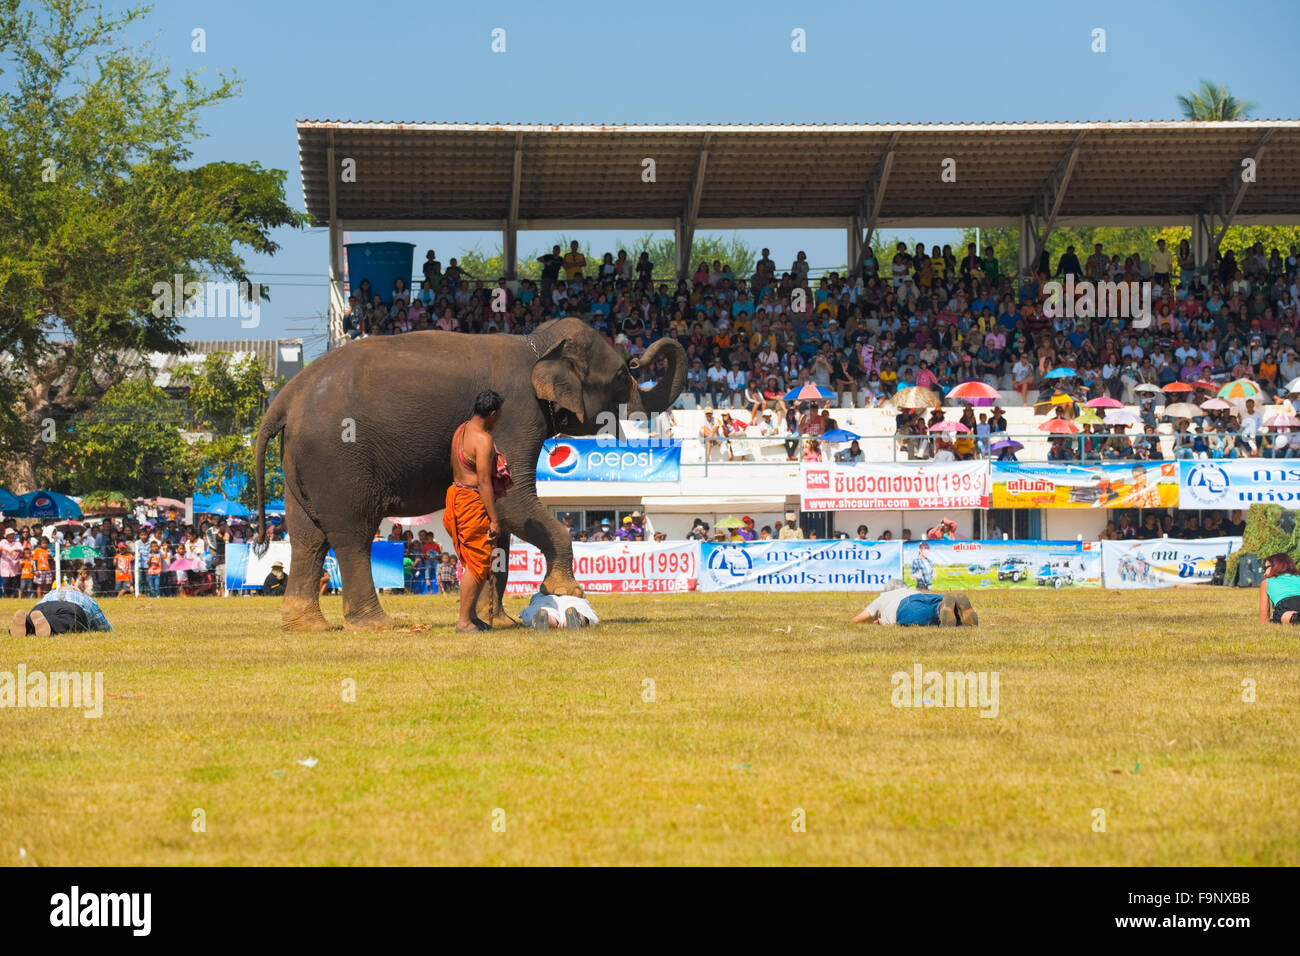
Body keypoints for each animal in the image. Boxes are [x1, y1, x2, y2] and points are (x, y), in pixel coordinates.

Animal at [252, 317, 687, 631]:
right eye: (621, 375)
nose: (639, 358)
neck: (535, 344)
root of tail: (285, 398)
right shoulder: (517, 414)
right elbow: (515, 501)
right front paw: (565, 590)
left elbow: (503, 512)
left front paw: (501, 622)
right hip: (338, 457)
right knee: (352, 535)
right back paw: (376, 625)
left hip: (300, 461)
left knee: (306, 537)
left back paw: (307, 627)